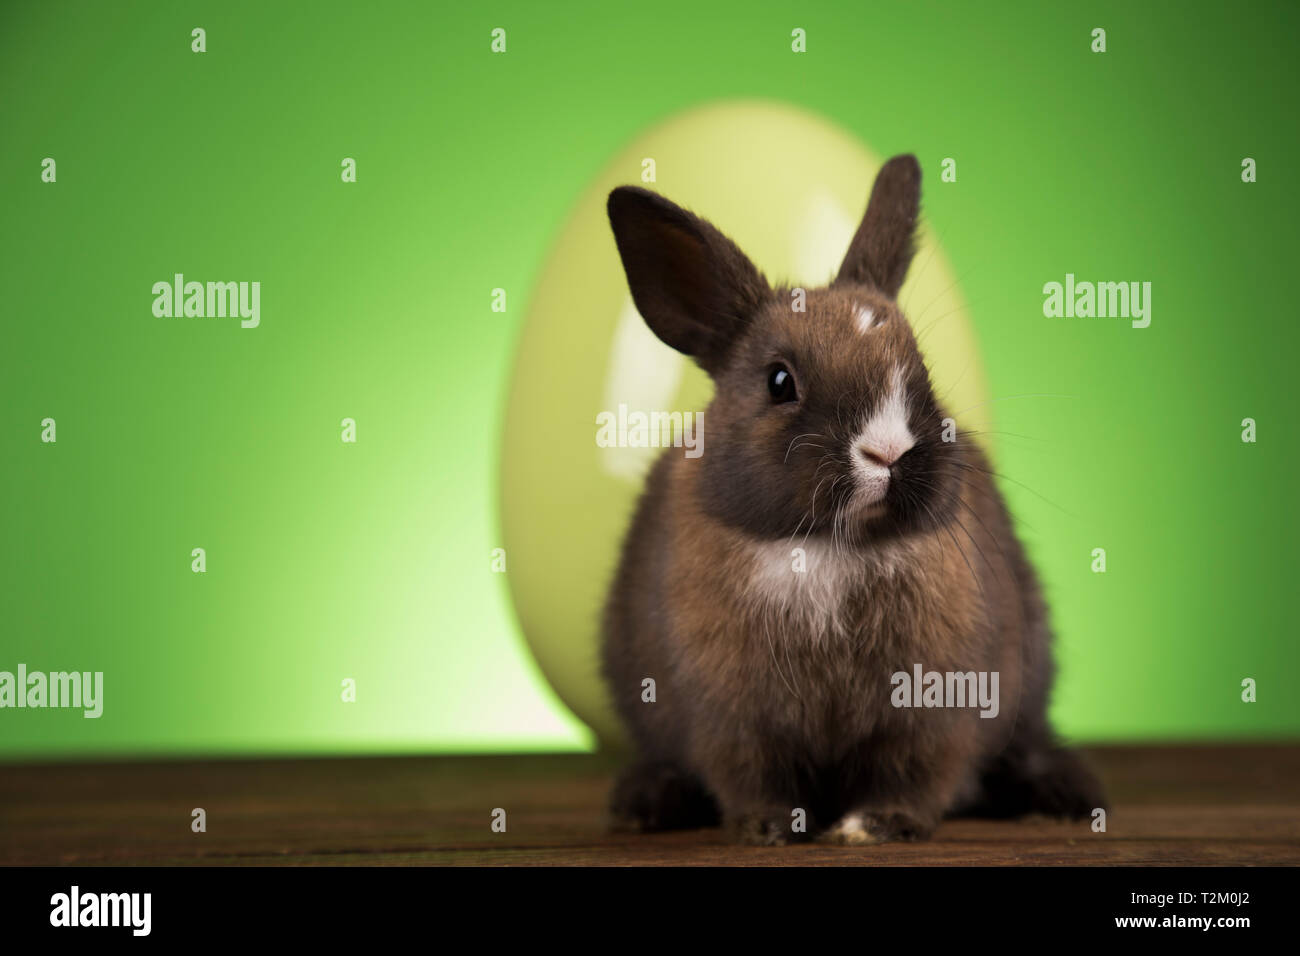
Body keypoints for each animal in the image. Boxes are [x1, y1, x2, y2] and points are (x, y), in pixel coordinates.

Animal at [599, 155, 1107, 845]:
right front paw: (767, 827)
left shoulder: (935, 712)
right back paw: (644, 801)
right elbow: (748, 772)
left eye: (921, 368)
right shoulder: (729, 719)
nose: (888, 450)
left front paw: (874, 826)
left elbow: (916, 772)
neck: (829, 550)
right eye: (779, 381)